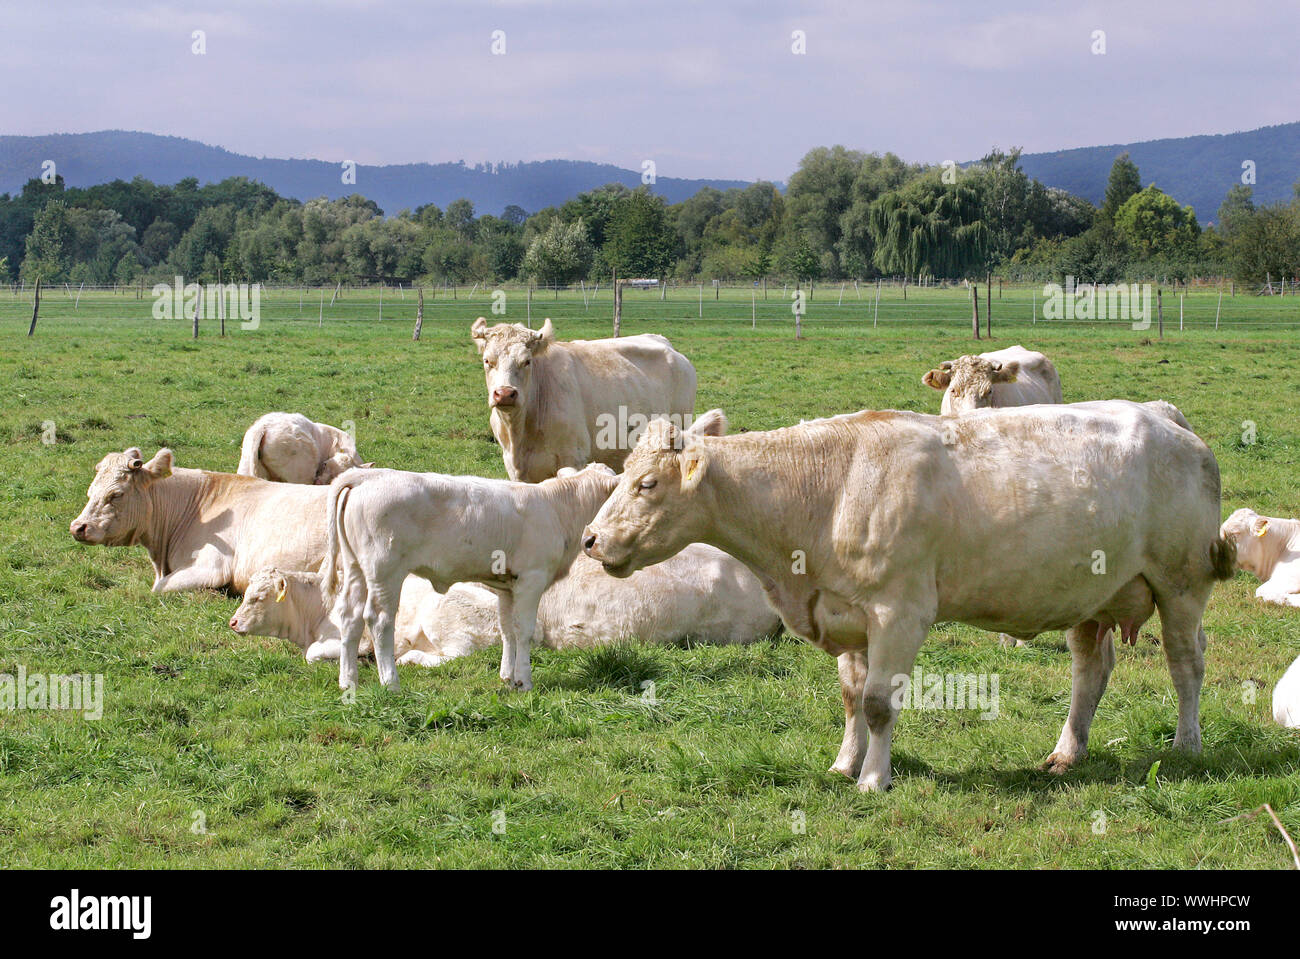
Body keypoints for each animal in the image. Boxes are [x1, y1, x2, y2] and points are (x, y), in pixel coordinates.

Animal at [322, 462, 620, 692]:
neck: (559, 509)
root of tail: (368, 476)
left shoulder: (507, 585)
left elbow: (507, 630)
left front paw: (507, 678)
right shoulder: (531, 579)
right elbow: (523, 630)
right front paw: (524, 681)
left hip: (355, 567)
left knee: (350, 616)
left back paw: (348, 682)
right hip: (385, 570)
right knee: (379, 620)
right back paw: (391, 683)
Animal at [581, 404, 1235, 792]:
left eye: (647, 483)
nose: (589, 539)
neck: (826, 490)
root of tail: (1164, 414)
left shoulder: (899, 613)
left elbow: (878, 704)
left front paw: (873, 779)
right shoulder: (844, 611)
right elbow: (851, 698)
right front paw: (844, 763)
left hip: (1180, 584)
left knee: (1185, 664)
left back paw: (1187, 746)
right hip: (1093, 592)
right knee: (1090, 671)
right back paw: (1066, 753)